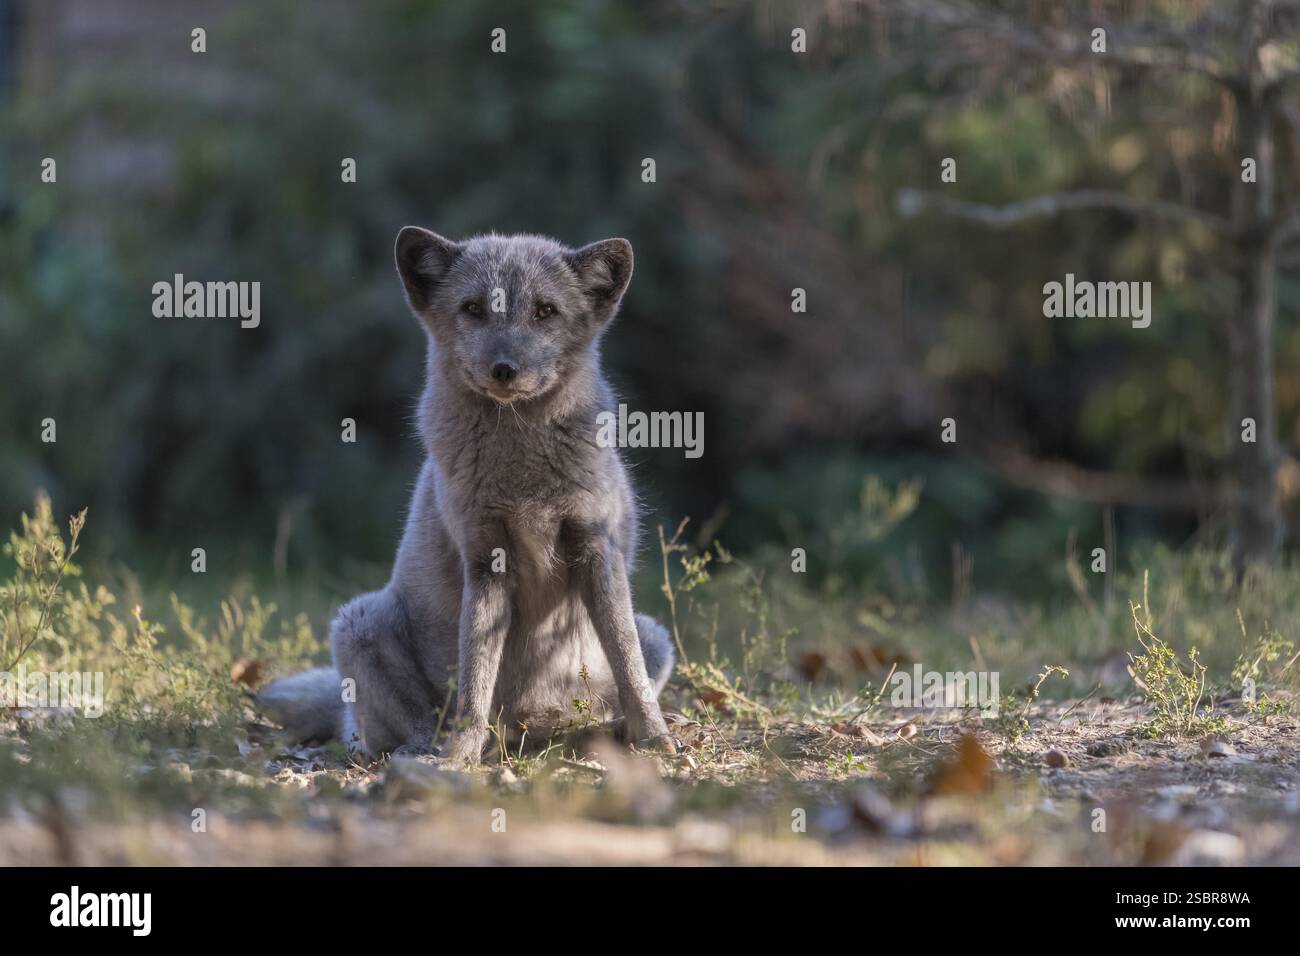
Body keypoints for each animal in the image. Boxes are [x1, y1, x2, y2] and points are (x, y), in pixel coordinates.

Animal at [257, 226, 676, 765]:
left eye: (545, 311)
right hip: (358, 621)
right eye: (473, 308)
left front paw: (655, 737)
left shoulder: (596, 550)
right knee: (416, 731)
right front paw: (461, 755)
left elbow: (629, 669)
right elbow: (475, 678)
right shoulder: (485, 560)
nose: (504, 369)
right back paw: (437, 752)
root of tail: (522, 734)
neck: (523, 478)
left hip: (656, 637)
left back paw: (599, 734)